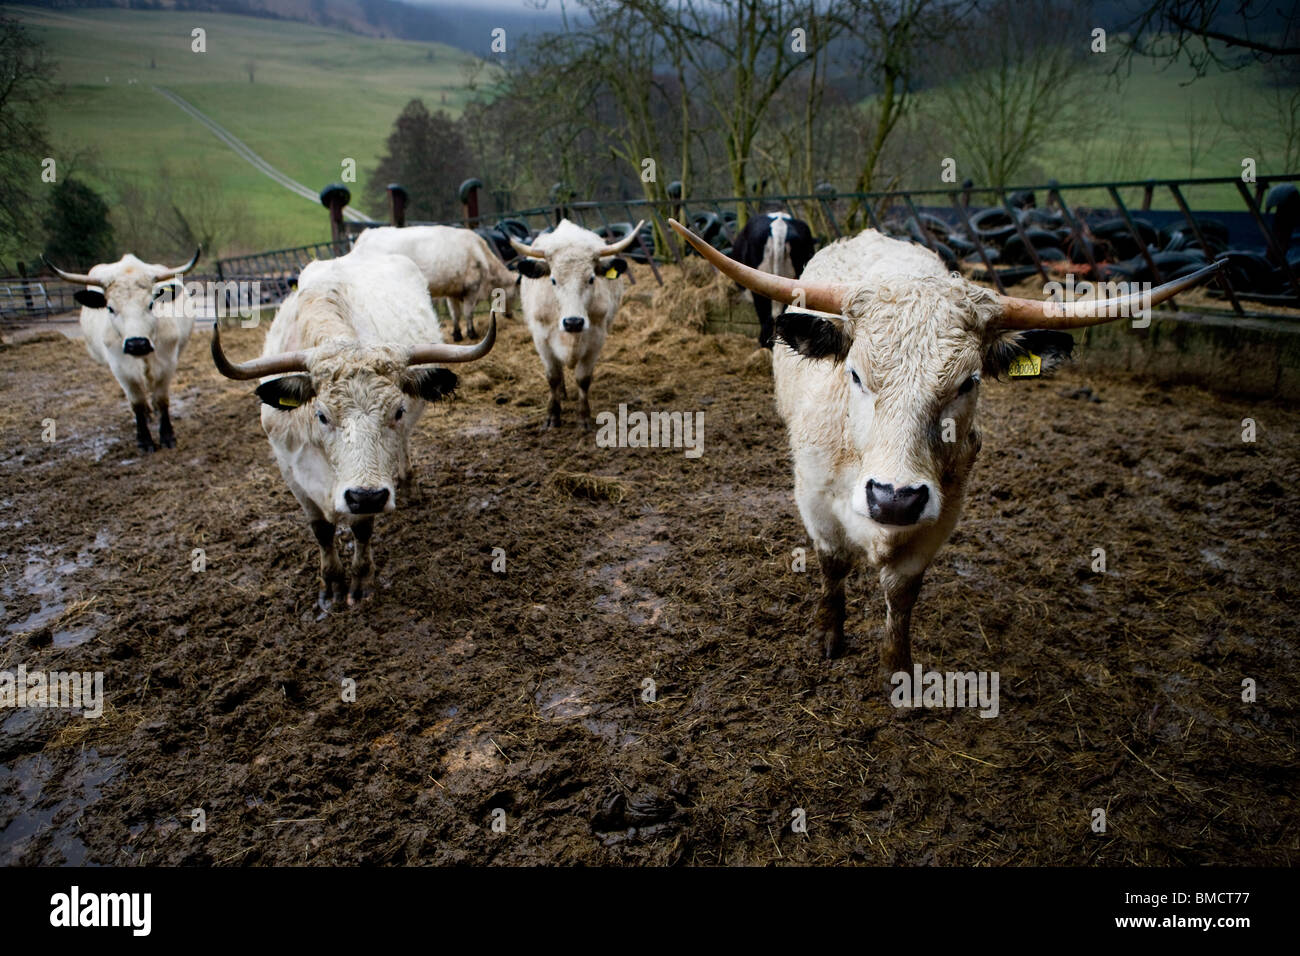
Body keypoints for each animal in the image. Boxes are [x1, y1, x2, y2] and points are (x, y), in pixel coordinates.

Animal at [45, 250, 200, 453]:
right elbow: (137, 403)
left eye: (151, 304)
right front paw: (145, 440)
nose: (137, 344)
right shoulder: (121, 368)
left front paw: (167, 436)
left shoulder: (167, 363)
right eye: (110, 308)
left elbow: (162, 399)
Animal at [211, 249, 496, 609]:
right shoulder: (290, 471)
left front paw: (360, 581)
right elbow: (321, 529)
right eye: (321, 415)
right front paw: (331, 583)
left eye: (398, 410)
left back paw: (409, 482)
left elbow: (362, 529)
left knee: (403, 447)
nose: (367, 495)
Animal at [351, 225, 519, 342]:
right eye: (515, 295)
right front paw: (472, 333)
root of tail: (365, 236)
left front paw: (457, 334)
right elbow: (468, 312)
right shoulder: (472, 289)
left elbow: (455, 314)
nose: (510, 315)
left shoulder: (453, 291)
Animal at [509, 219, 644, 429]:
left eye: (591, 279)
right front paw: (552, 416)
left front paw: (584, 418)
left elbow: (583, 379)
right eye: (553, 280)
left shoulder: (596, 339)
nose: (573, 322)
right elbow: (553, 377)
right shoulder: (541, 340)